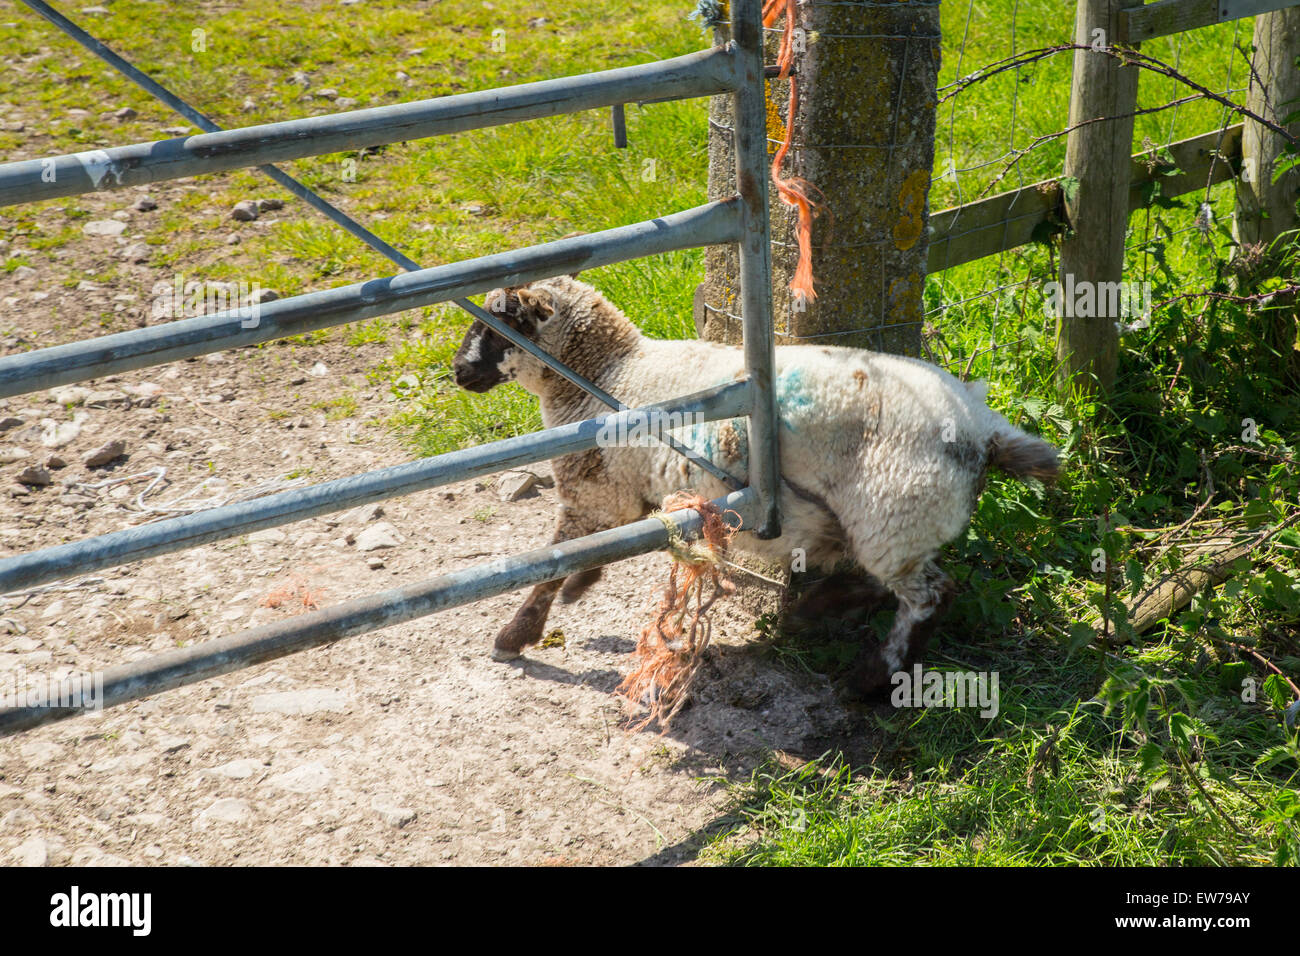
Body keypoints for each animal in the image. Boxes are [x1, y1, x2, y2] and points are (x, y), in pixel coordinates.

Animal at [451, 275, 1059, 696]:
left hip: (895, 508)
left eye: (498, 321)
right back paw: (815, 610)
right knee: (882, 576)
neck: (610, 373)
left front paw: (516, 635)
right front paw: (581, 588)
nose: (457, 372)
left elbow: (554, 562)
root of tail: (982, 429)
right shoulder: (617, 492)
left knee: (930, 595)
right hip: (888, 519)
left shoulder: (592, 489)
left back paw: (867, 680)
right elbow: (591, 552)